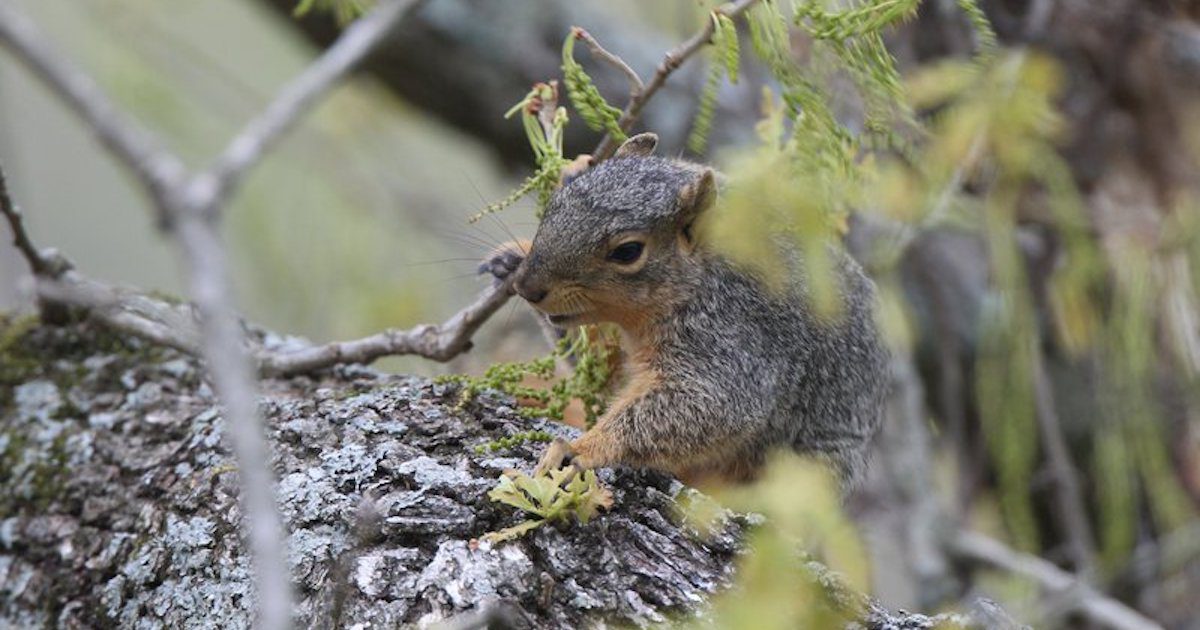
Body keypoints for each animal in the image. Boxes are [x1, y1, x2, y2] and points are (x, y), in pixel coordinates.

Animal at [481, 133, 890, 488]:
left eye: (628, 251)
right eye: (559, 196)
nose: (527, 286)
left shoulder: (734, 335)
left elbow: (712, 404)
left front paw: (580, 450)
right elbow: (607, 376)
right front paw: (511, 255)